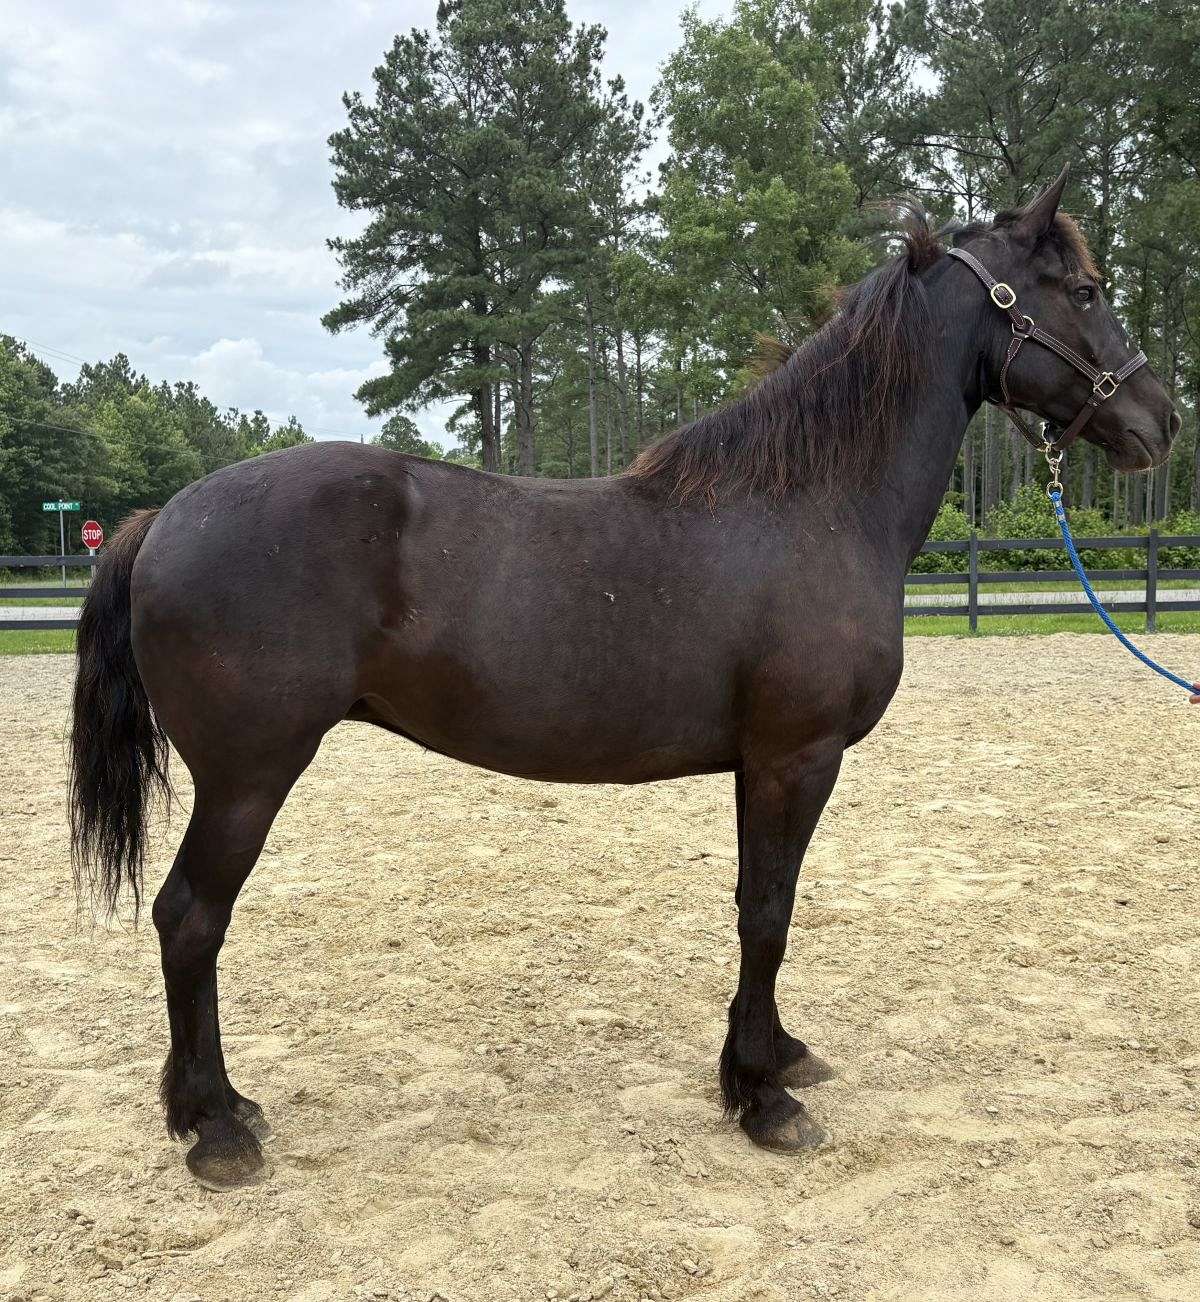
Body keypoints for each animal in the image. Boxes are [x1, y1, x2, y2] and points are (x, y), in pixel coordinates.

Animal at [69, 167, 1179, 1190]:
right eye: (1084, 289)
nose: (1161, 422)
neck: (813, 506)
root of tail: (165, 517)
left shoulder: (759, 765)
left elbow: (761, 904)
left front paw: (774, 1058)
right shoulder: (796, 757)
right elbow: (767, 911)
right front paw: (761, 1099)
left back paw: (214, 1108)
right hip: (248, 777)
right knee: (190, 919)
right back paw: (216, 1127)